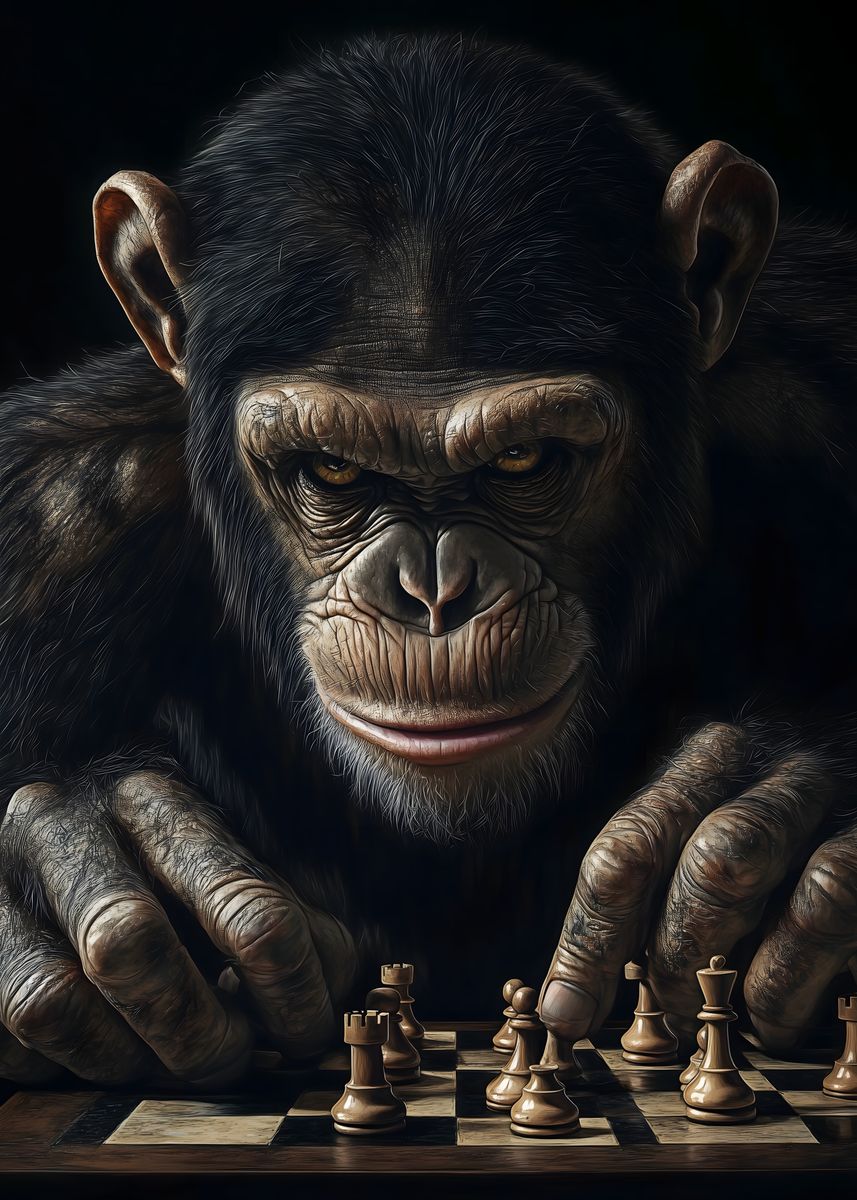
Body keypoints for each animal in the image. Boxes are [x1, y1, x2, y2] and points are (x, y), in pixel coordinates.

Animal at [0, 33, 855, 1087]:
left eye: (523, 458)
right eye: (330, 469)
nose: (435, 592)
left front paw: (786, 819)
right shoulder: (37, 526)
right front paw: (79, 855)